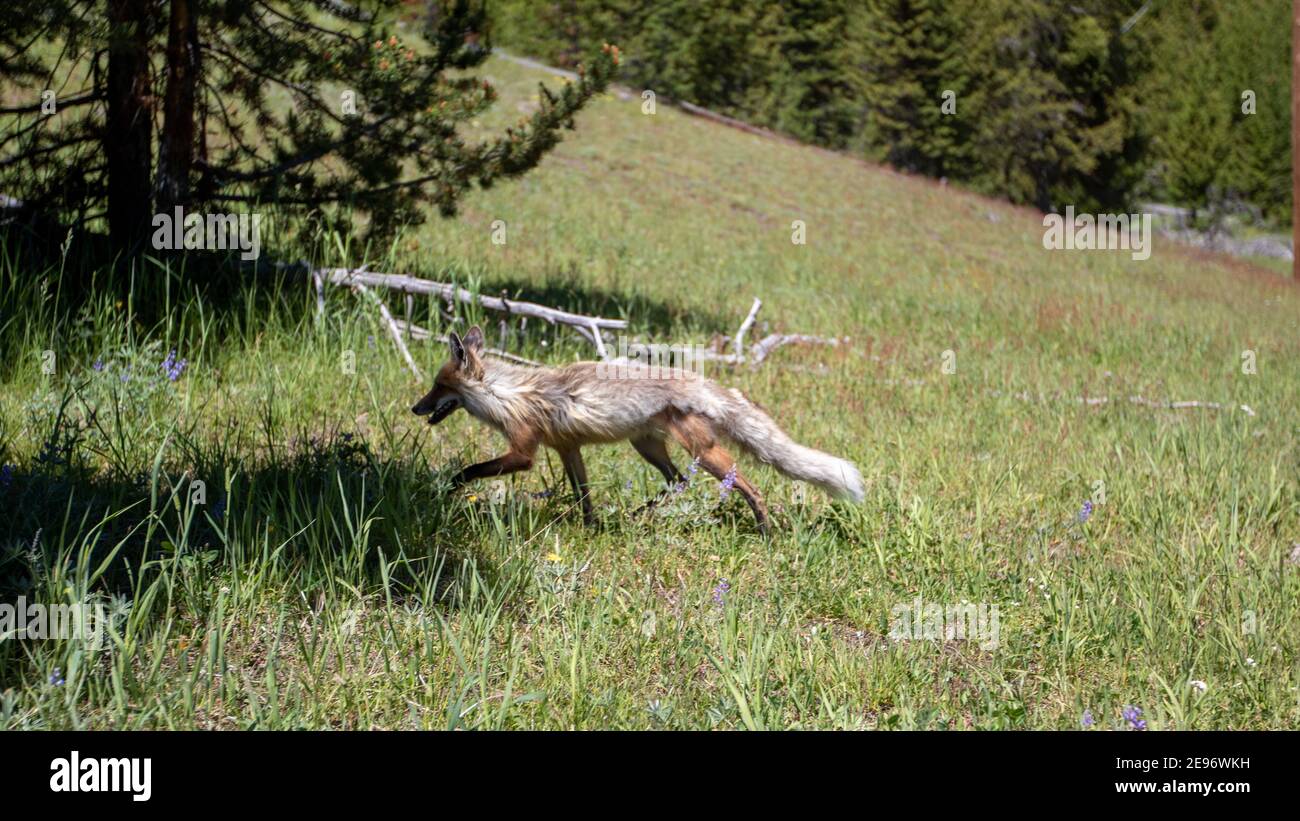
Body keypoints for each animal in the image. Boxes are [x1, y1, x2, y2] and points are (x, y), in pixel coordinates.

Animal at [411, 326, 864, 534]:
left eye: (438, 387)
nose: (415, 407)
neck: (506, 394)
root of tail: (703, 382)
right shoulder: (567, 448)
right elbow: (583, 496)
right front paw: (591, 528)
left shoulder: (524, 452)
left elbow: (471, 469)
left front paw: (449, 485)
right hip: (647, 447)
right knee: (677, 483)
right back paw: (637, 515)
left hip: (701, 452)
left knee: (746, 485)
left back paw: (766, 529)